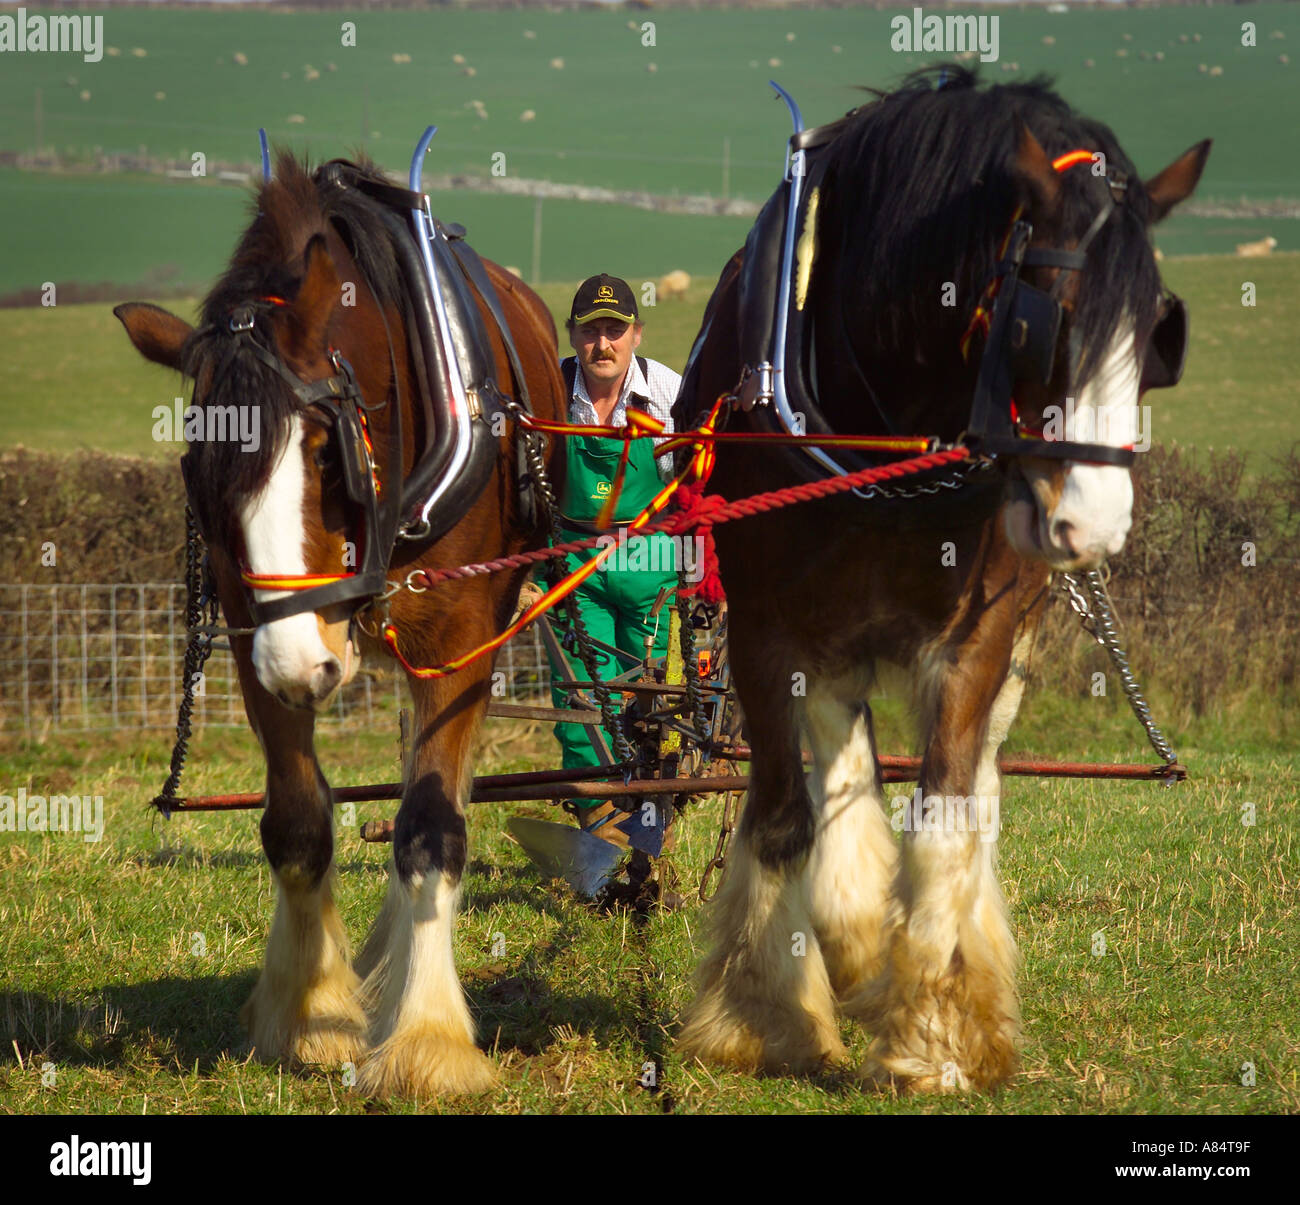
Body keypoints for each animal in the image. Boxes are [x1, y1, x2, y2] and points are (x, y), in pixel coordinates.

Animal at [116, 152, 566, 1097]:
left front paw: (426, 1041)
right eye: (202, 470)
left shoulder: (460, 640)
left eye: (328, 455)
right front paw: (307, 1015)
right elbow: (298, 820)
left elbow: (431, 827)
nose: (304, 664)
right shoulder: (253, 629)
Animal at [673, 68, 1208, 1092]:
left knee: (974, 784)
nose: (1096, 522)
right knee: (838, 757)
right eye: (1049, 325)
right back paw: (845, 938)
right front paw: (765, 1015)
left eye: (1158, 336)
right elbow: (782, 813)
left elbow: (950, 811)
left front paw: (938, 1033)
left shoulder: (980, 634)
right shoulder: (764, 628)